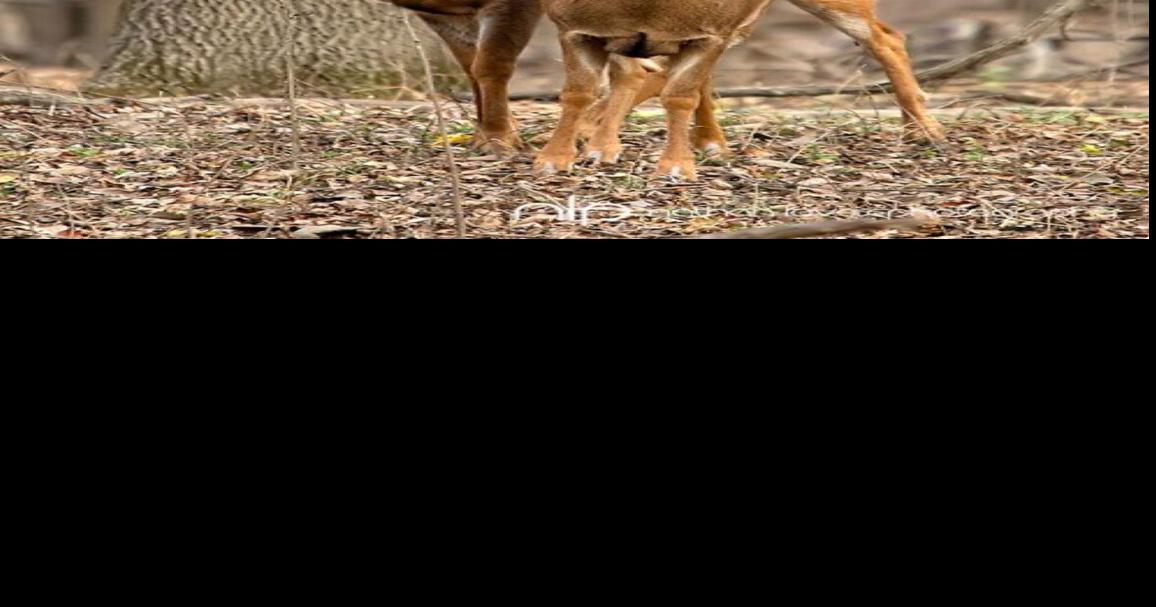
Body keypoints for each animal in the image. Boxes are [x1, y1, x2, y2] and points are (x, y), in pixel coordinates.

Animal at [538, 0, 947, 181]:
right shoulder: (575, 29)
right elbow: (577, 92)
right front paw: (554, 159)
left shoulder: (708, 33)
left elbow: (679, 95)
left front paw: (675, 167)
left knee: (886, 37)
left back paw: (924, 129)